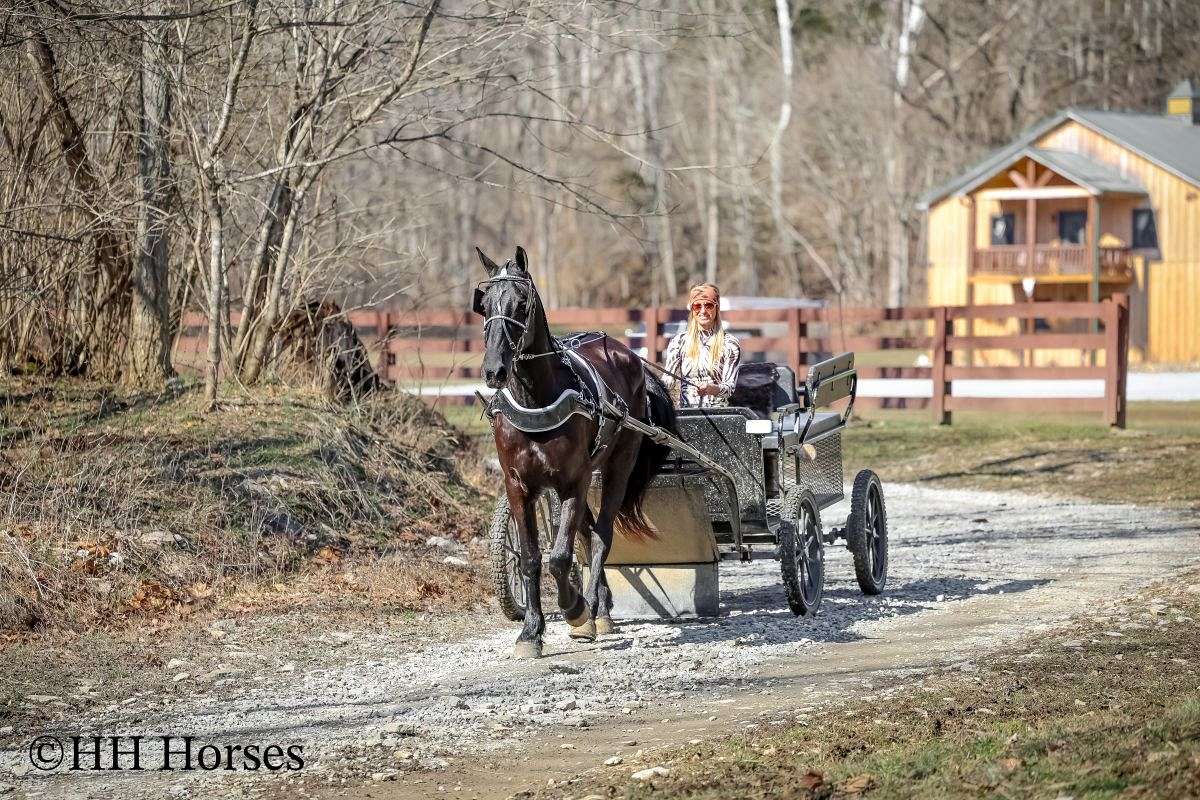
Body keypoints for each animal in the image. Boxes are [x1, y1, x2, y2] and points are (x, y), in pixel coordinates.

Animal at [473, 245, 677, 659]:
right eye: (484, 305)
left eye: (521, 303)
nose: (494, 370)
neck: (536, 399)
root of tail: (628, 355)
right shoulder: (518, 485)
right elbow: (532, 557)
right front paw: (531, 631)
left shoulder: (572, 481)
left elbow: (560, 556)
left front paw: (576, 611)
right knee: (586, 530)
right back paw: (602, 603)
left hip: (617, 466)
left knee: (600, 535)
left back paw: (596, 608)